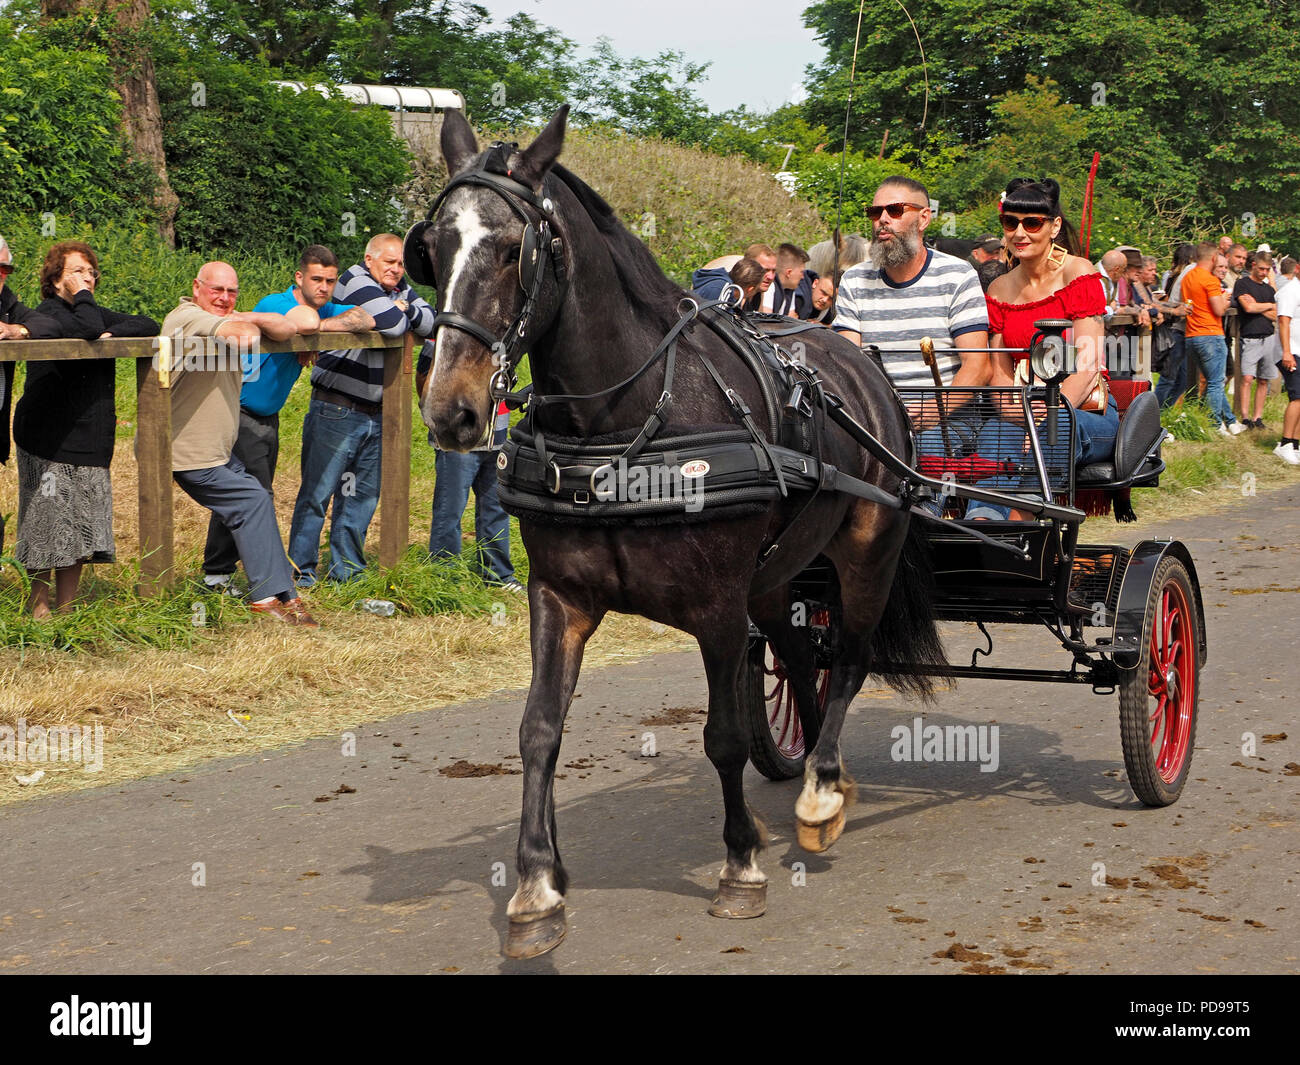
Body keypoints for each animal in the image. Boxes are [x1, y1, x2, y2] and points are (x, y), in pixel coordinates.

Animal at [413, 105, 946, 958]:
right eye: (431, 249)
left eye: (509, 247)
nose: (450, 410)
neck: (619, 426)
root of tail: (853, 358)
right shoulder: (558, 596)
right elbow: (538, 730)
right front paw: (536, 888)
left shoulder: (717, 605)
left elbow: (723, 735)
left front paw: (741, 864)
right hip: (777, 576)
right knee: (803, 656)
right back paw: (807, 768)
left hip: (866, 551)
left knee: (852, 657)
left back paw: (824, 787)